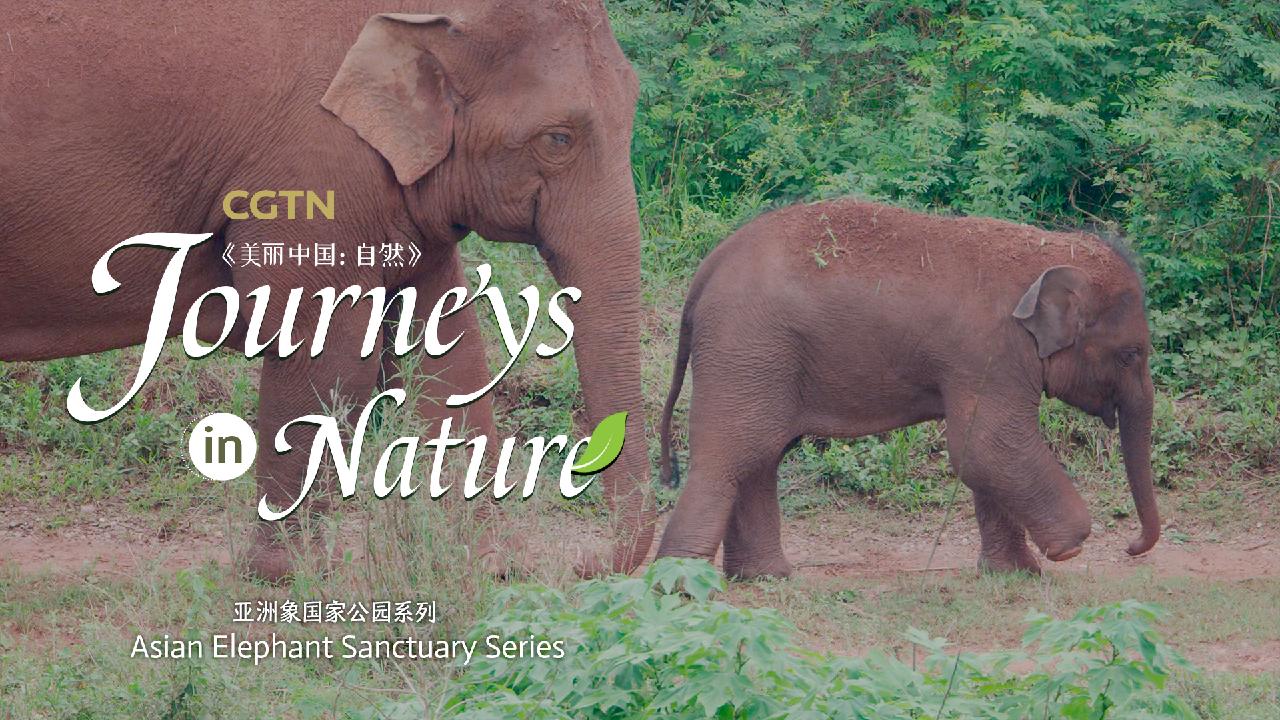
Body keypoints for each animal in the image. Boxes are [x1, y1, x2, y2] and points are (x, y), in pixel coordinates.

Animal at [0, 1, 654, 580]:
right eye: (558, 139)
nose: (587, 563)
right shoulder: (314, 169)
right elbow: (330, 351)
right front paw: (289, 574)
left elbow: (451, 352)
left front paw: (495, 566)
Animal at [655, 198, 1161, 579]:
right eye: (1131, 354)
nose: (1132, 547)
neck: (1046, 249)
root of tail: (707, 269)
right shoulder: (990, 352)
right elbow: (988, 446)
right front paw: (1071, 547)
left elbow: (983, 453)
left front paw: (1015, 574)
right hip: (746, 347)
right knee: (731, 455)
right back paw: (681, 588)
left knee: (760, 458)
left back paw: (764, 578)